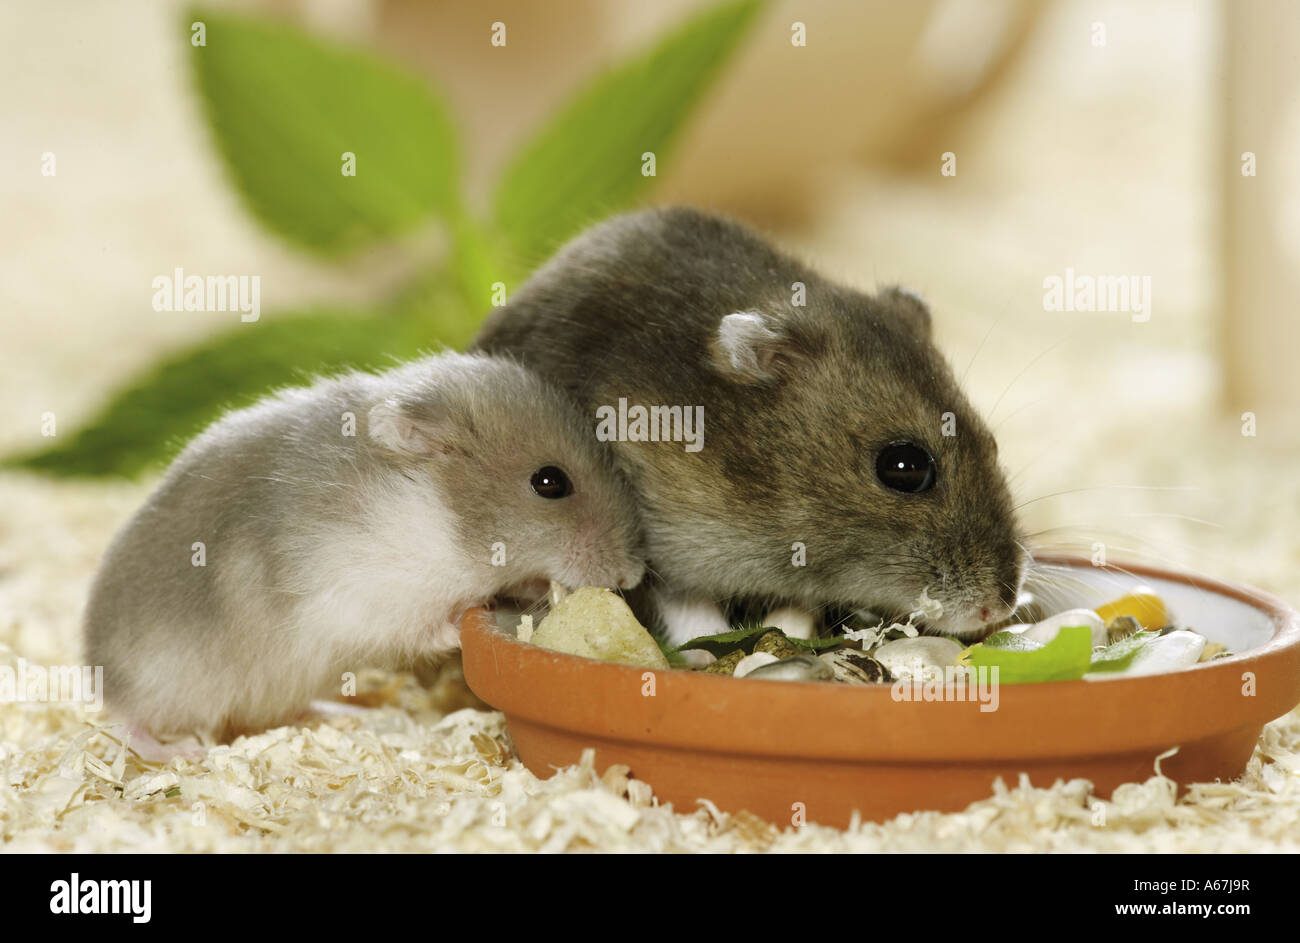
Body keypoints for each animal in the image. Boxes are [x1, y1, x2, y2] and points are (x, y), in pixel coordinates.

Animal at [83, 352, 643, 741]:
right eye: (549, 482)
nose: (632, 576)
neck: (438, 512)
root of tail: (98, 671)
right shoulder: (359, 595)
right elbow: (424, 628)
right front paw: (468, 619)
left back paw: (346, 712)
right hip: (166, 684)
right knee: (130, 723)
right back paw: (171, 749)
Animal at [473, 207, 1025, 645]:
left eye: (994, 444)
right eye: (903, 467)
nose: (999, 608)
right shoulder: (653, 537)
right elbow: (684, 603)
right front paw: (710, 644)